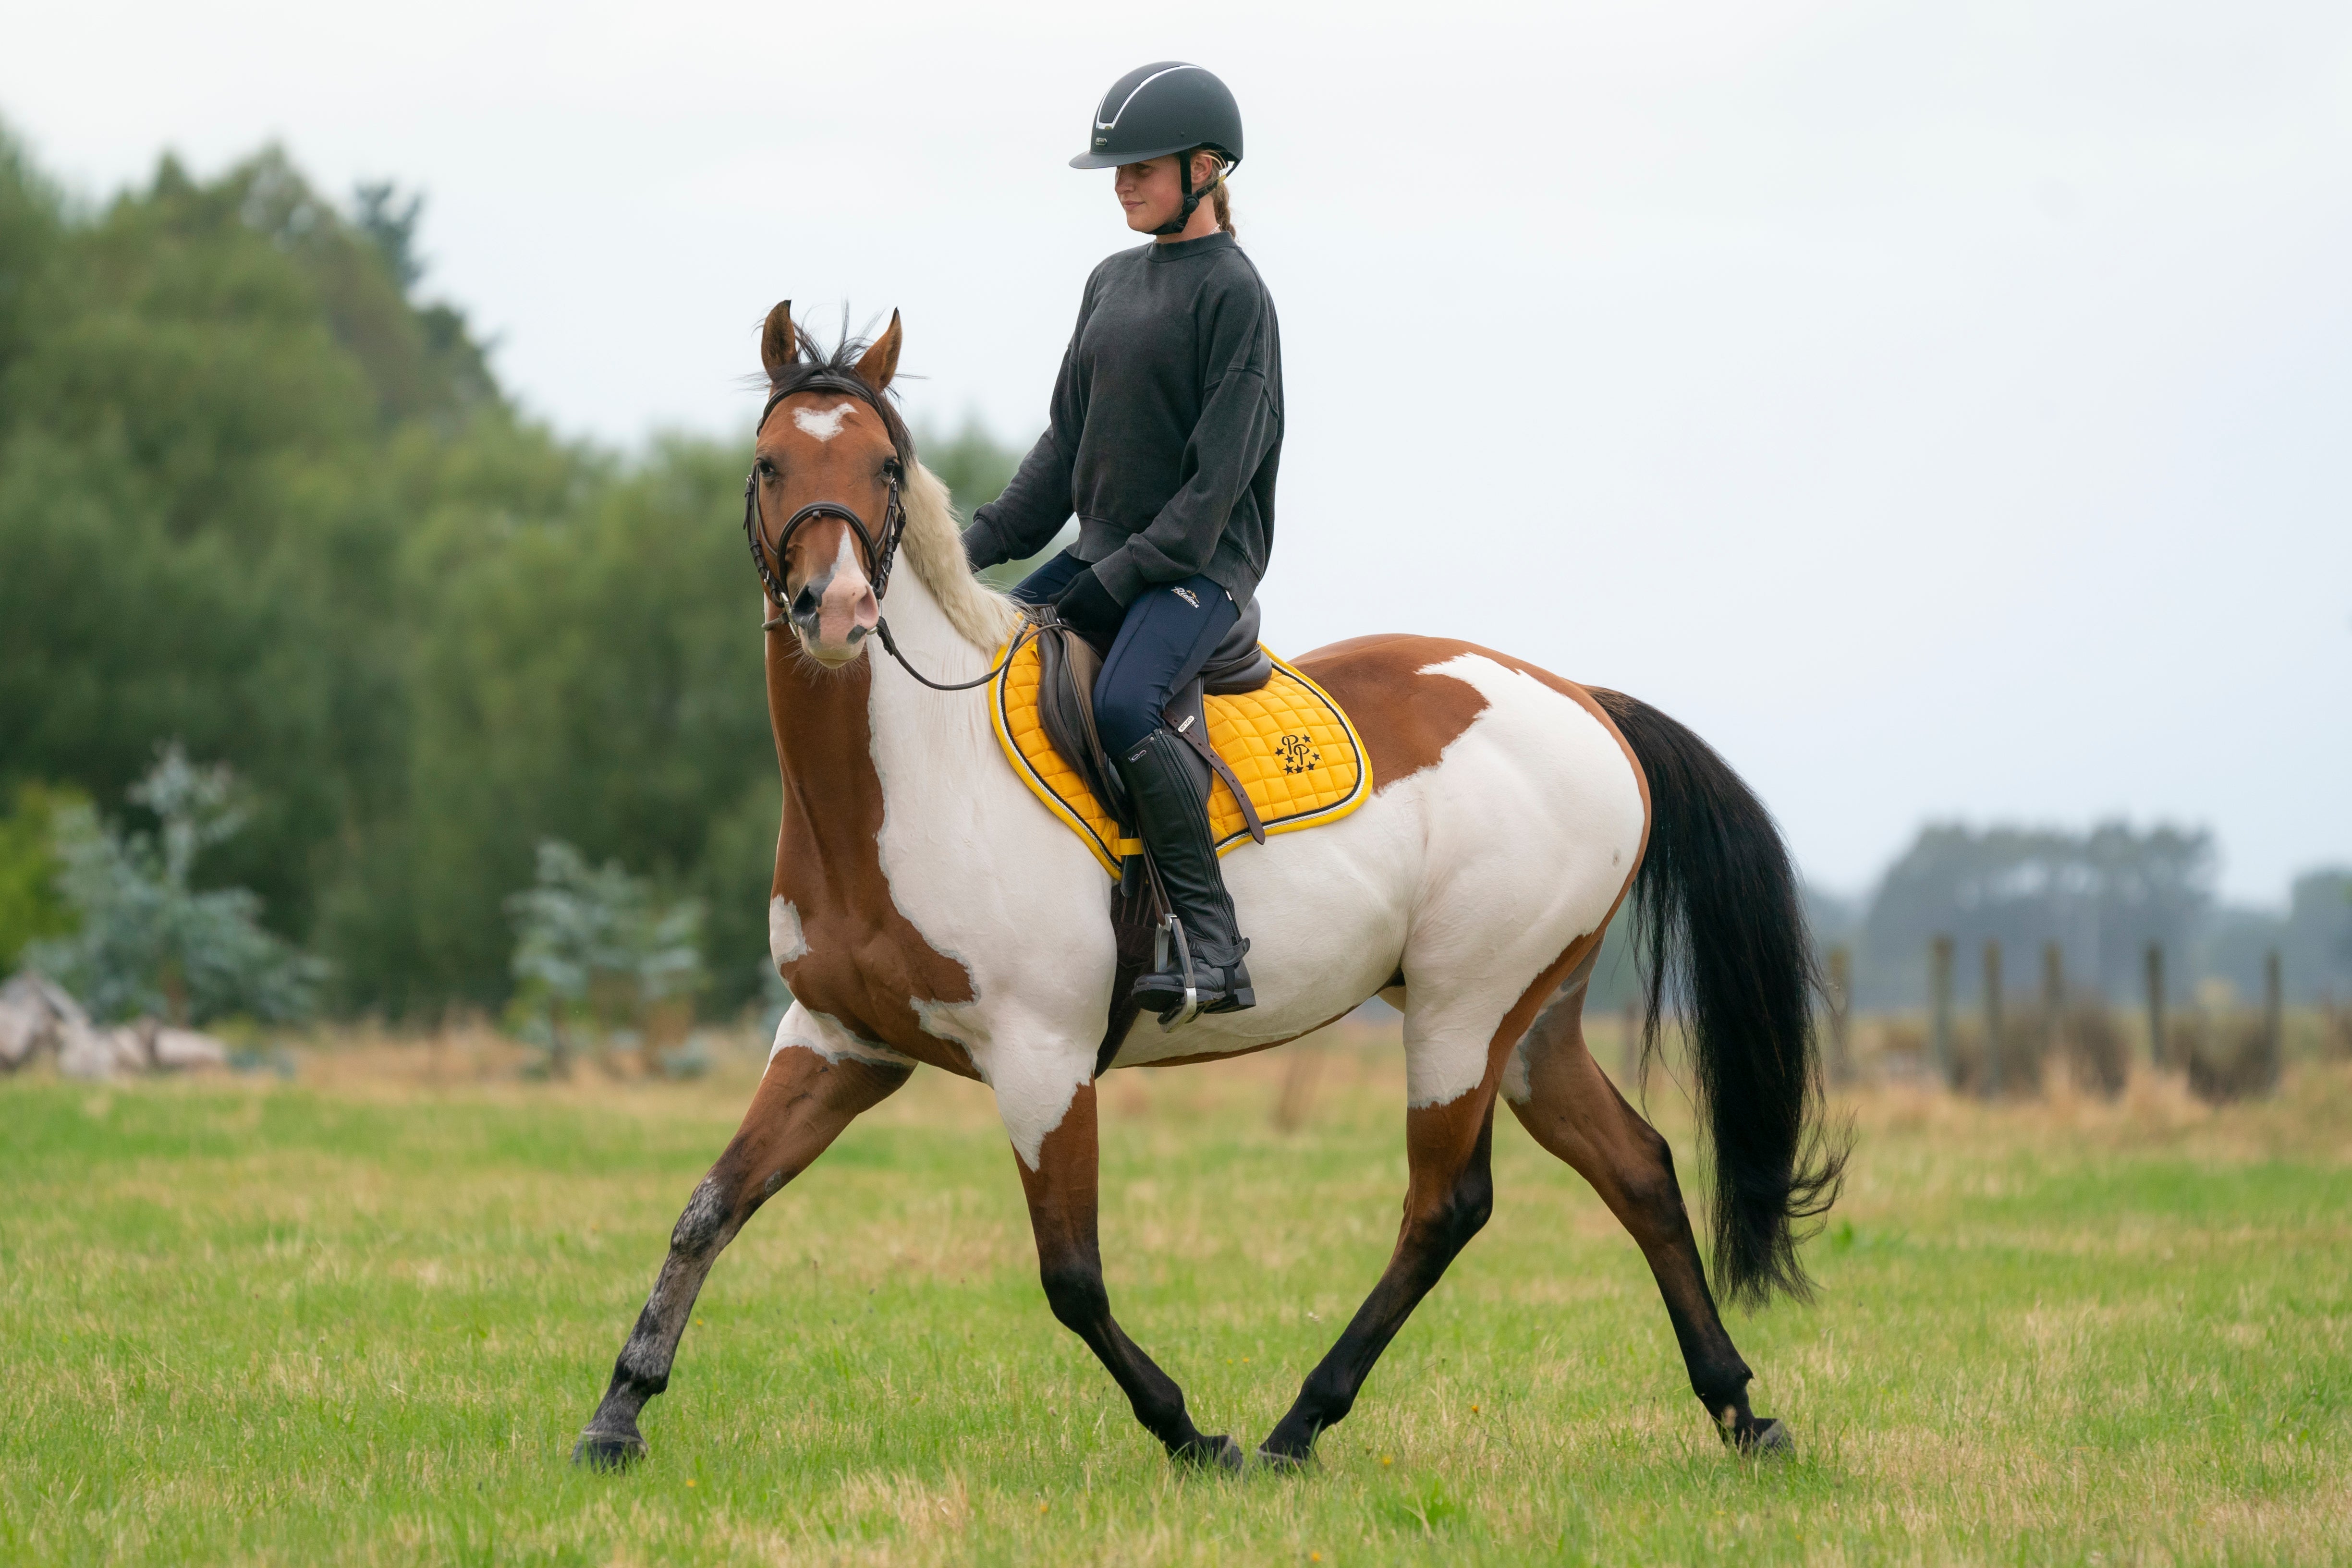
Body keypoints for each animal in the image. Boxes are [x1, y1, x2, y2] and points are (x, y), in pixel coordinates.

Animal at [573, 304, 1845, 1471]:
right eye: (769, 464)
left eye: (884, 467)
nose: (835, 614)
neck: (906, 779)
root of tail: (1585, 701)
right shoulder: (839, 1040)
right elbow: (708, 1207)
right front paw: (617, 1412)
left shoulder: (1039, 1060)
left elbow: (1071, 1276)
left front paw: (1187, 1430)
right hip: (1533, 1021)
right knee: (1638, 1169)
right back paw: (1739, 1411)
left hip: (1462, 1011)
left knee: (1445, 1206)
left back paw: (1295, 1425)